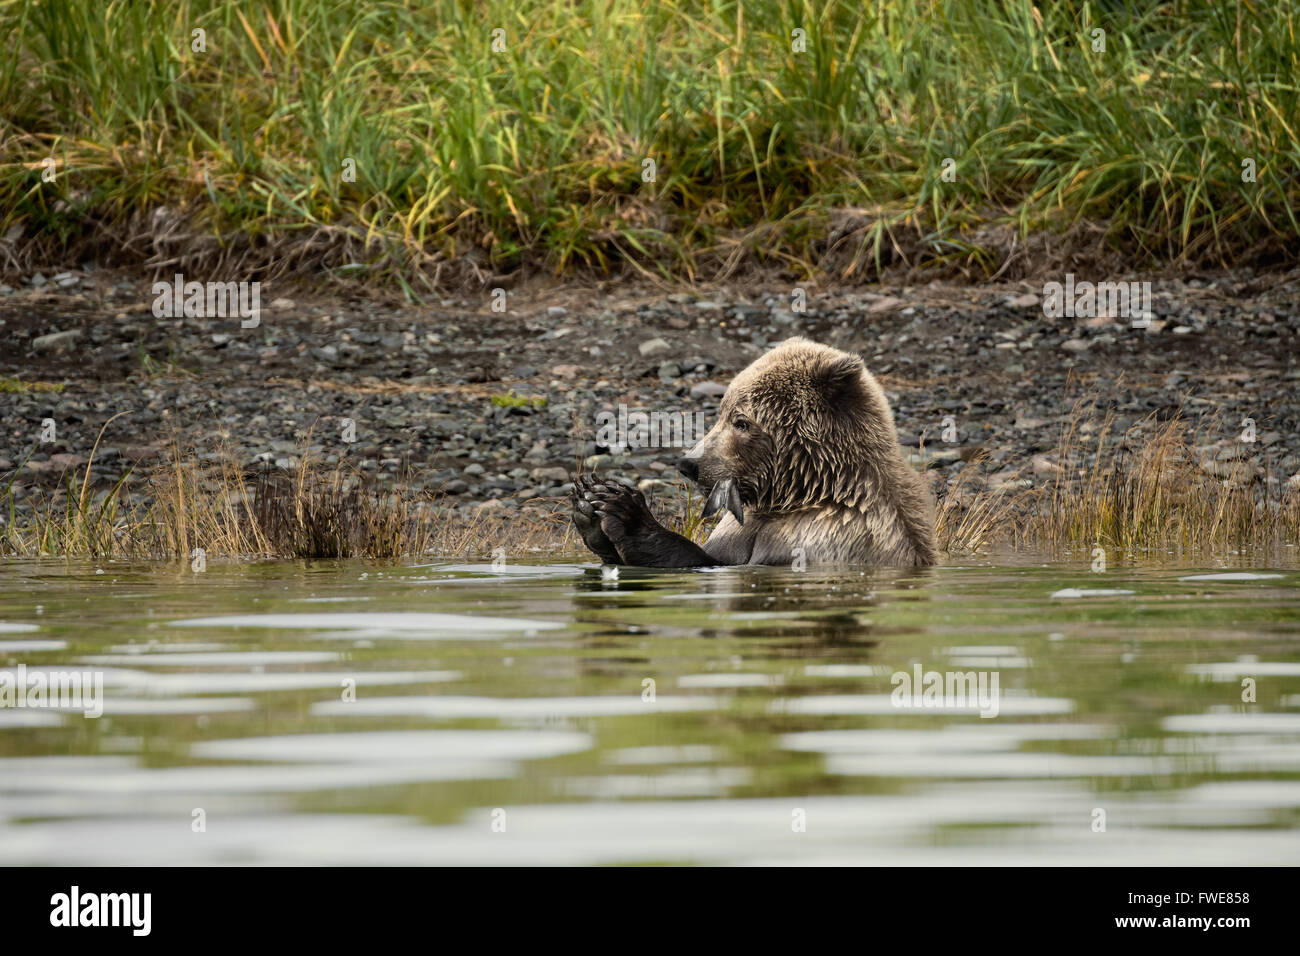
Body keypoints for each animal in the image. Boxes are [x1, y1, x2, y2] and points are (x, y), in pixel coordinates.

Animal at [571, 336, 938, 568]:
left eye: (742, 421)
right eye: (721, 413)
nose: (689, 463)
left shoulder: (827, 539)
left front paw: (623, 511)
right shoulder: (738, 533)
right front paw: (590, 508)